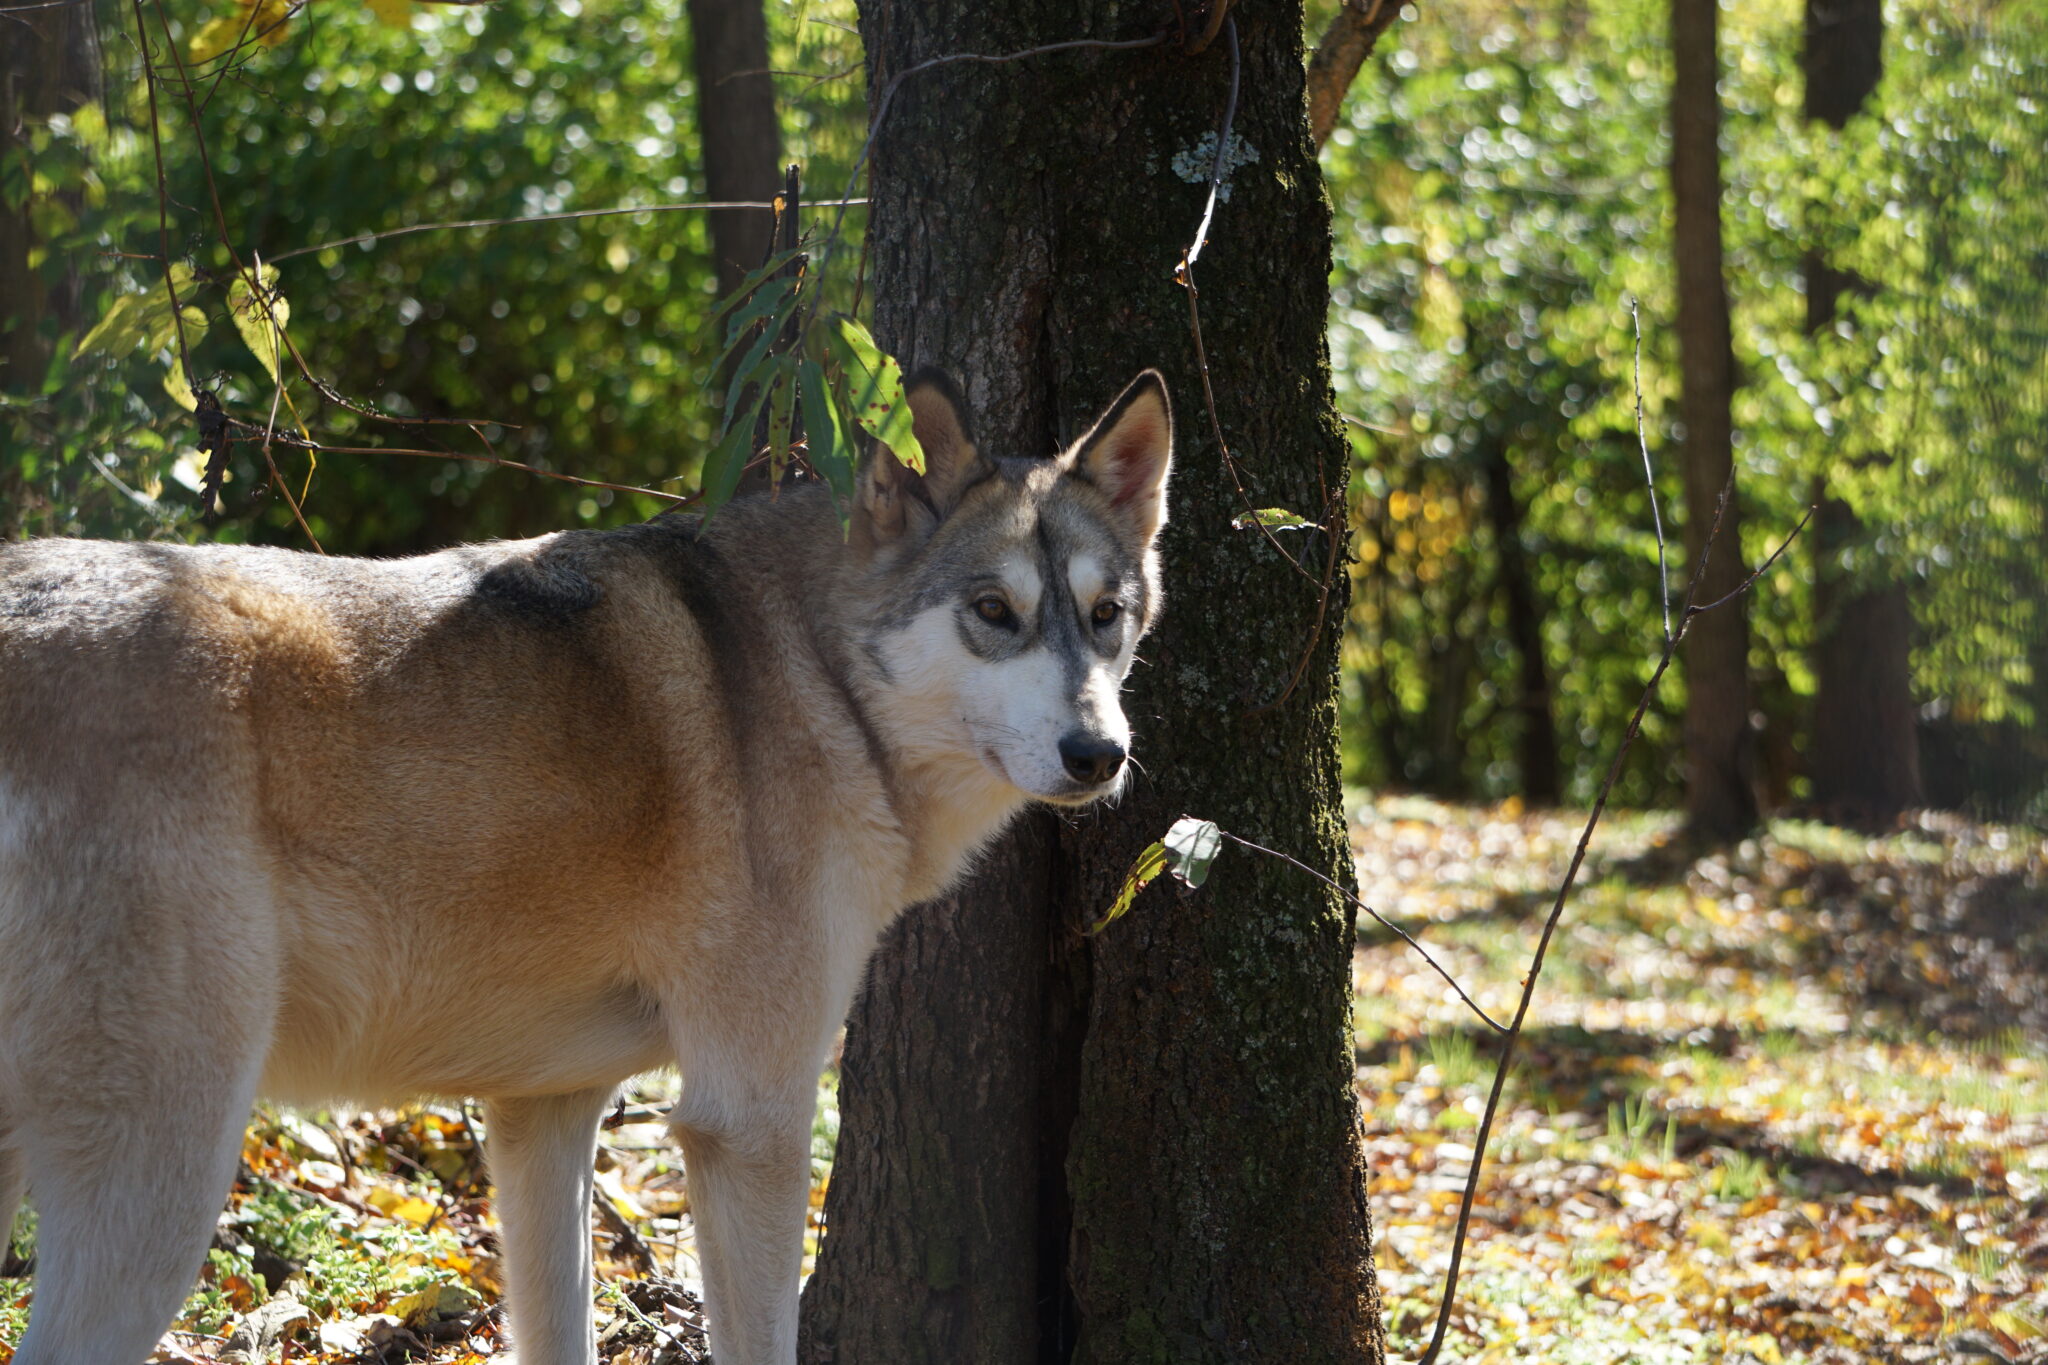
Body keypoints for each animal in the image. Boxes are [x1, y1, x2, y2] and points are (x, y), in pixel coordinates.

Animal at [0, 368, 1172, 1365]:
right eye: (994, 613)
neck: (821, 674)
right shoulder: (747, 1124)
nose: (1099, 755)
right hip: (167, 1179)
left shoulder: (542, 1119)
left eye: (1106, 616)